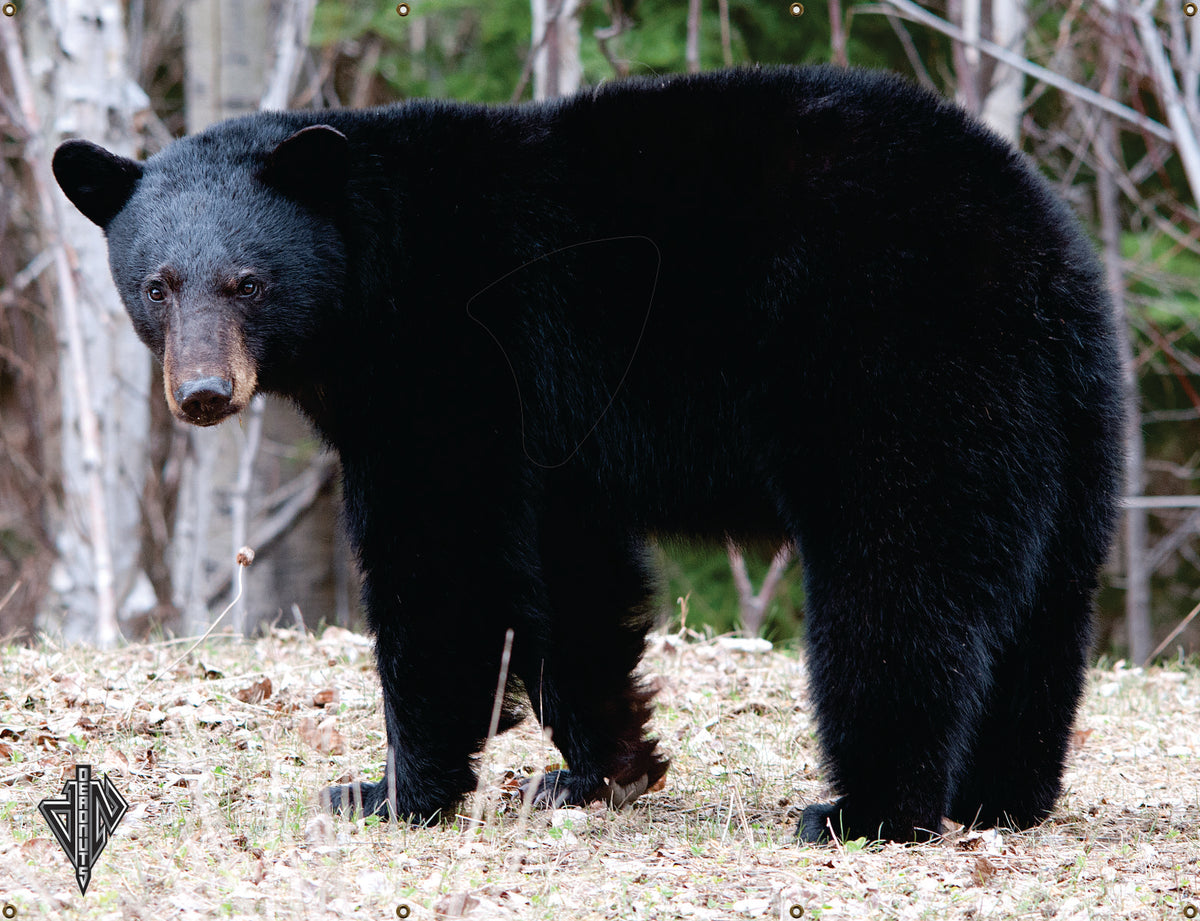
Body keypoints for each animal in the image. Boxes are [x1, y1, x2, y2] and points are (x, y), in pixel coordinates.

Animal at [52, 64, 1125, 843]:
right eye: (156, 284)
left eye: (249, 282)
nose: (203, 392)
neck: (373, 269)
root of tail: (1036, 252)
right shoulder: (552, 435)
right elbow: (571, 578)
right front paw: (596, 770)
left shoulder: (457, 362)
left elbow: (442, 562)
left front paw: (391, 790)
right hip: (1072, 423)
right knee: (1045, 603)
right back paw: (1002, 796)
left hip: (898, 369)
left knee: (900, 581)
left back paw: (865, 809)